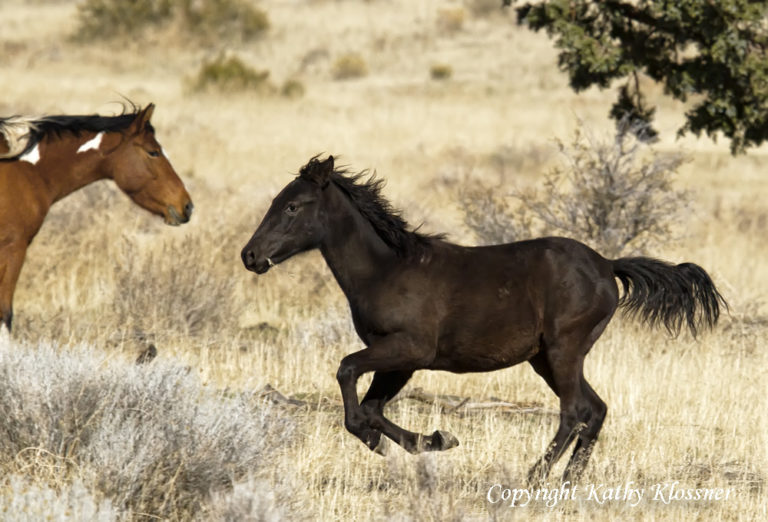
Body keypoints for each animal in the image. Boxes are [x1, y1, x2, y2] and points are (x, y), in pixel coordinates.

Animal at [241, 155, 726, 484]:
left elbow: (348, 376)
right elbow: (373, 407)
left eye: (293, 206)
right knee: (596, 409)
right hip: (545, 358)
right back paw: (569, 480)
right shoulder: (398, 359)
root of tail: (608, 265)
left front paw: (393, 442)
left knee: (574, 411)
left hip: (563, 349)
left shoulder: (408, 349)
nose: (250, 255)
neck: (386, 269)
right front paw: (436, 440)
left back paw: (535, 477)